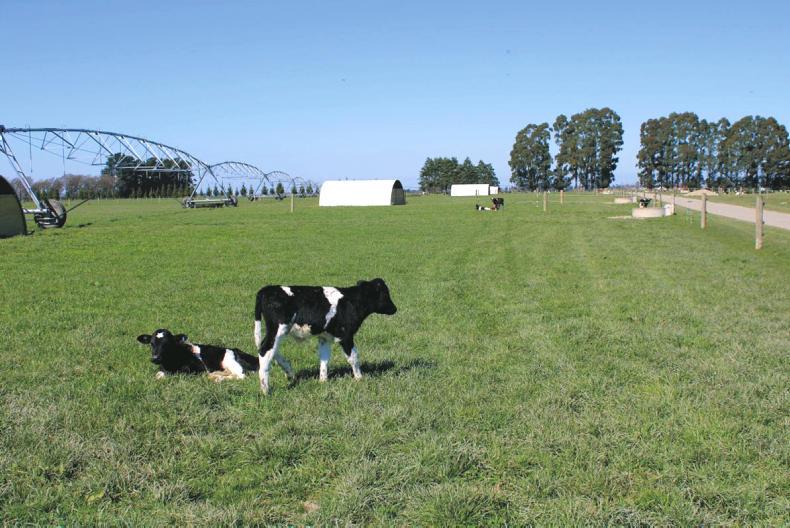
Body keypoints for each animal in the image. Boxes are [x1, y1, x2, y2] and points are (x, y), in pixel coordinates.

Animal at [253, 278, 397, 394]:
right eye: (385, 294)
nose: (395, 308)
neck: (352, 301)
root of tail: (267, 289)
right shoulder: (346, 336)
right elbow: (353, 358)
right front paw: (359, 378)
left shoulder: (325, 337)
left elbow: (324, 358)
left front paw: (323, 381)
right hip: (277, 329)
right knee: (265, 350)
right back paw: (266, 390)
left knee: (269, 350)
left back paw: (289, 372)